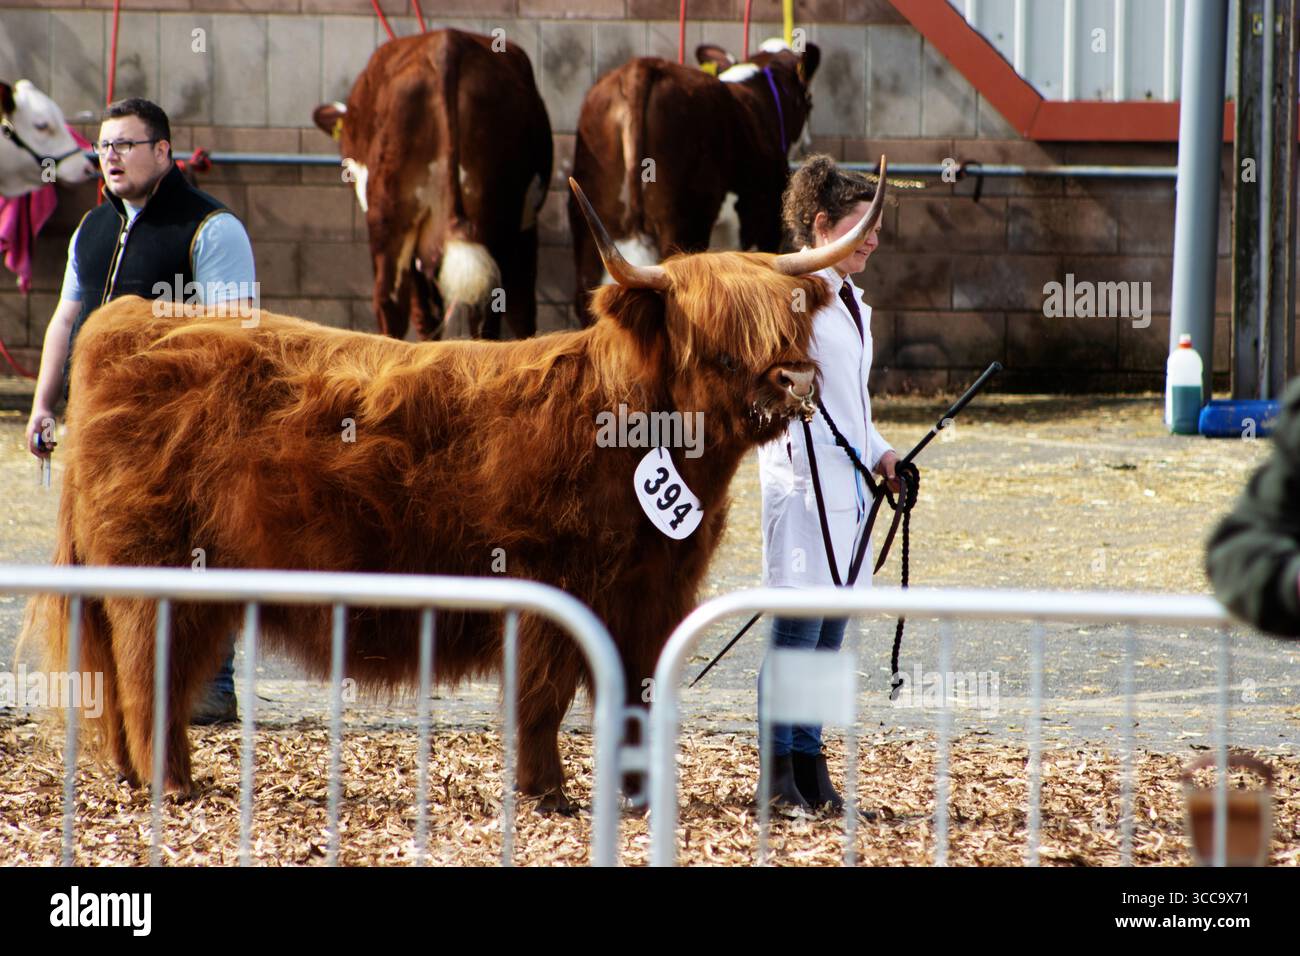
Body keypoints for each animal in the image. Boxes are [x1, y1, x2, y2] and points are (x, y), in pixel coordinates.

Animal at [23, 165, 887, 811]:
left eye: (788, 323)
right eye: (718, 340)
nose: (798, 380)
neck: (628, 431)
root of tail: (124, 320)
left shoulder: (655, 591)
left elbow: (638, 691)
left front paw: (639, 798)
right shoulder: (550, 583)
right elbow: (544, 697)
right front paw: (547, 794)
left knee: (139, 678)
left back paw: (140, 774)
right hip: (155, 569)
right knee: (147, 672)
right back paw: (172, 784)